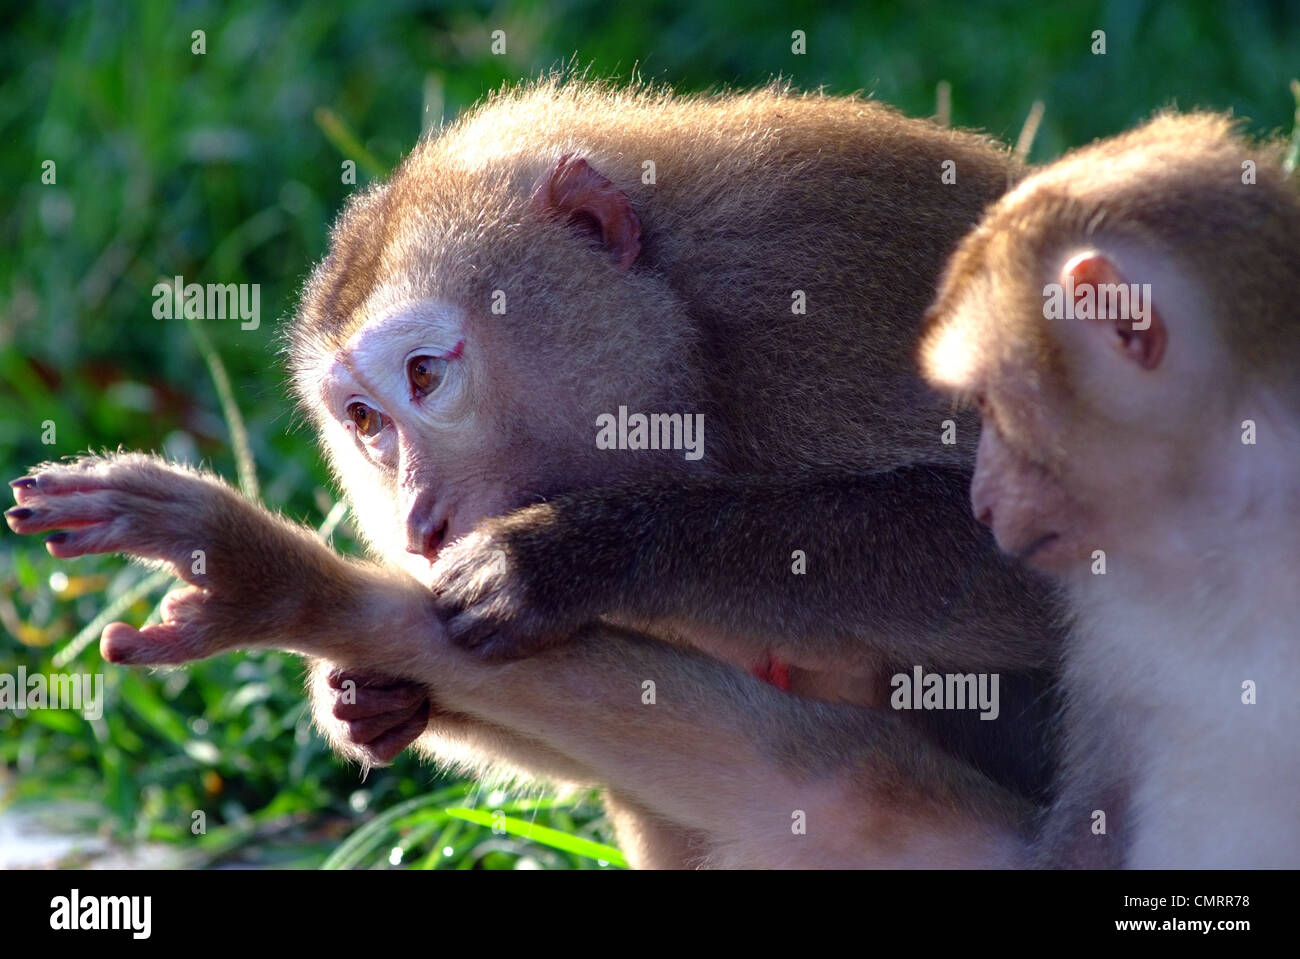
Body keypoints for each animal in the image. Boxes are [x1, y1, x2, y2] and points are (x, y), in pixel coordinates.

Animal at [8, 79, 1066, 868]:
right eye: (364, 423)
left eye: (424, 376)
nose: (418, 524)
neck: (689, 357)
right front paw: (361, 695)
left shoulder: (817, 271)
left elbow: (1037, 561)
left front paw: (574, 554)